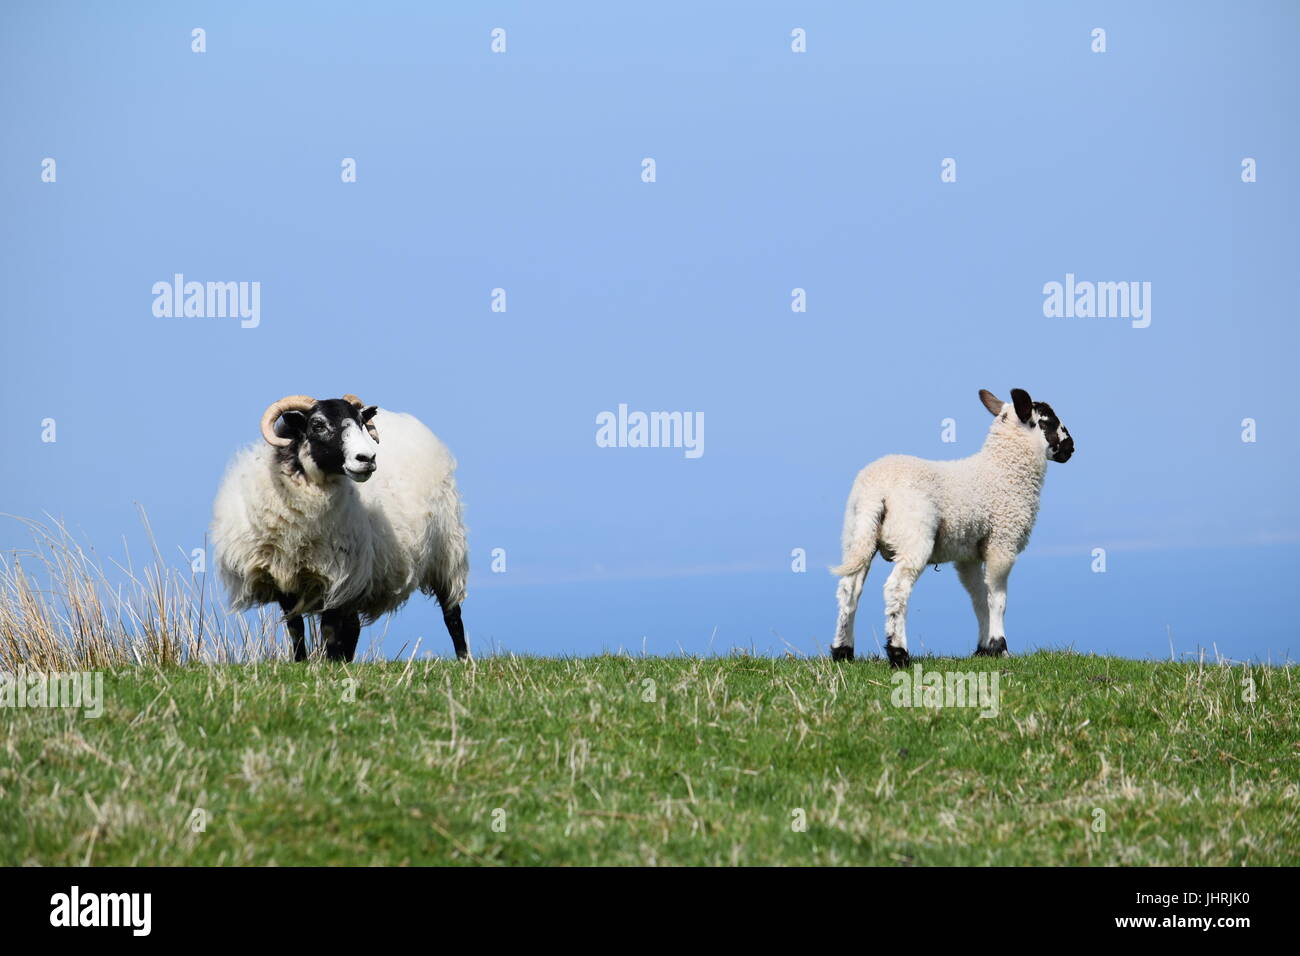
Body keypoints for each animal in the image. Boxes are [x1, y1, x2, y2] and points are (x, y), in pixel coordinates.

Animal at [211, 394, 469, 662]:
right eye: (317, 424)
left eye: (361, 422)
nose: (367, 459)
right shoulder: (283, 575)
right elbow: (295, 627)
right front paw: (301, 662)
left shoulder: (339, 575)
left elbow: (329, 629)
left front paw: (329, 663)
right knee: (353, 626)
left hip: (447, 552)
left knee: (452, 613)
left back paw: (463, 658)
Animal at [830, 388, 1074, 667]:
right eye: (1047, 420)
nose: (1071, 447)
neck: (1002, 470)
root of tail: (875, 490)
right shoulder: (1003, 542)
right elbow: (997, 599)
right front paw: (999, 647)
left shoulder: (968, 555)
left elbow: (979, 598)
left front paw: (983, 649)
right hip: (913, 535)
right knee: (896, 589)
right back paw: (898, 653)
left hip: (857, 535)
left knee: (849, 589)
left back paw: (842, 651)